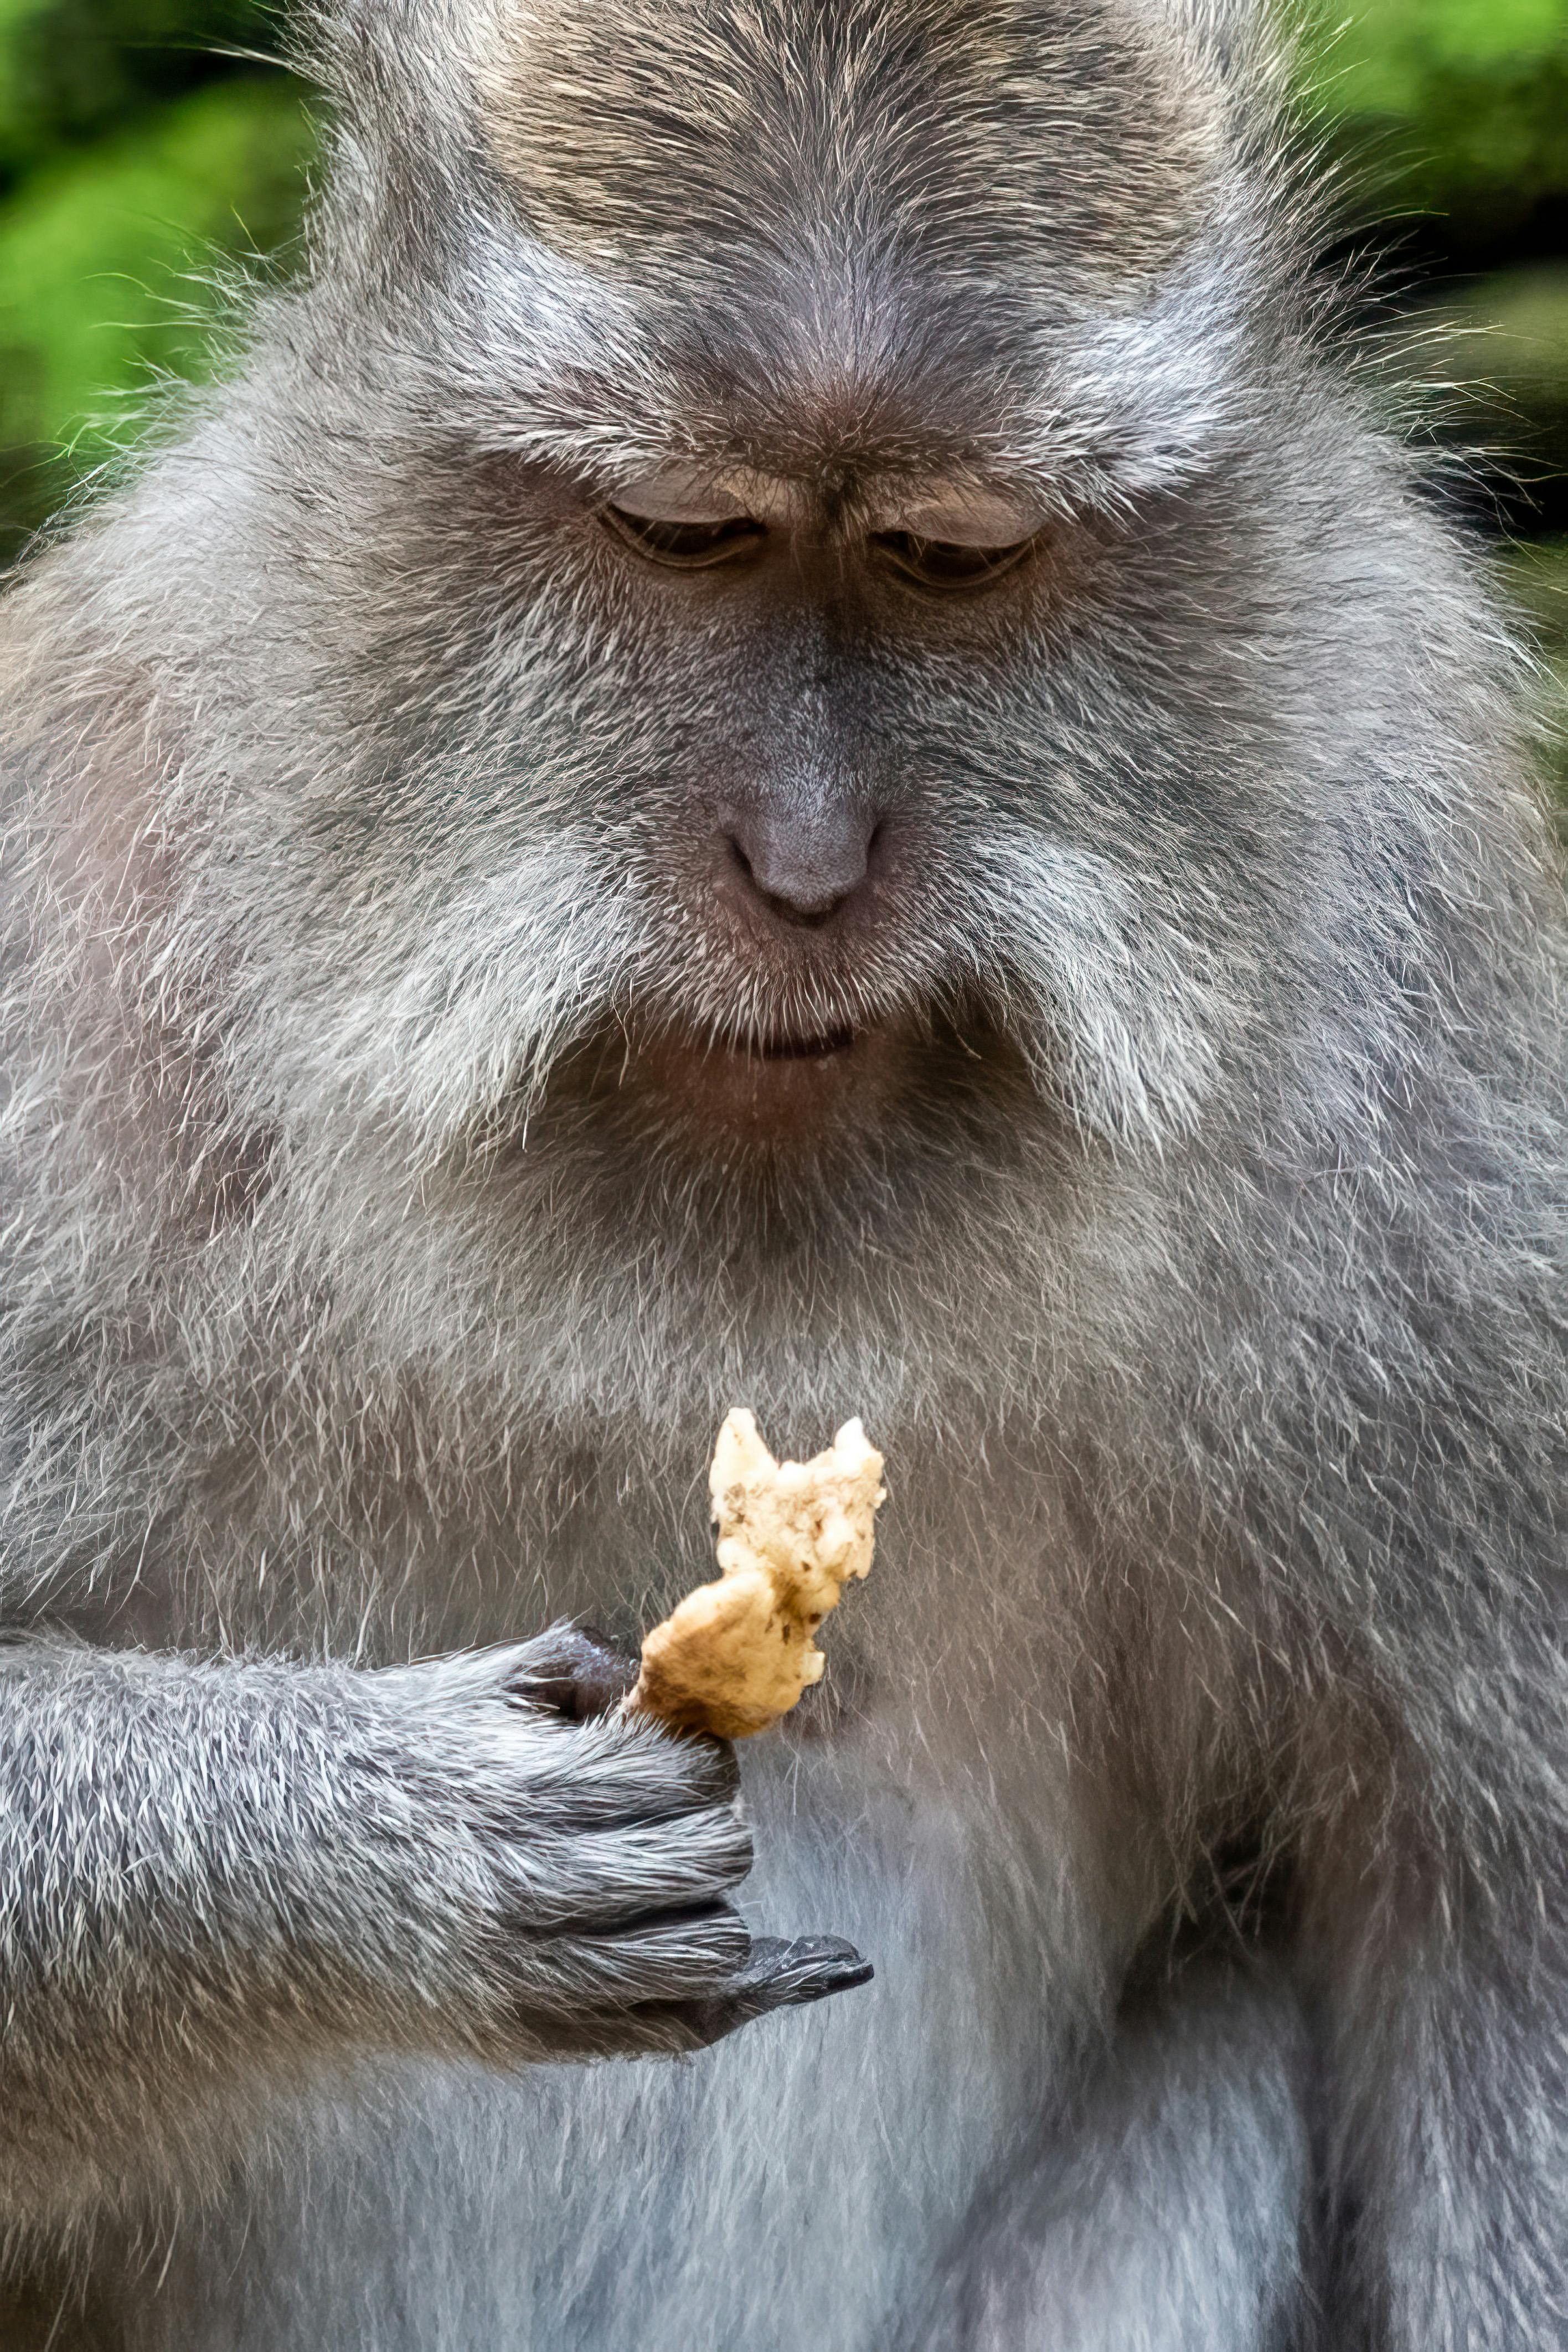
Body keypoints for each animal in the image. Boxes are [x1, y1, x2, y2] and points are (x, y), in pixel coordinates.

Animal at [0, 0, 1564, 2342]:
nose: (806, 869)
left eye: (952, 554)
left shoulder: (1432, 965)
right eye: (682, 531)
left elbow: (1488, 1917)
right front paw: (396, 1844)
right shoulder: (80, 904)